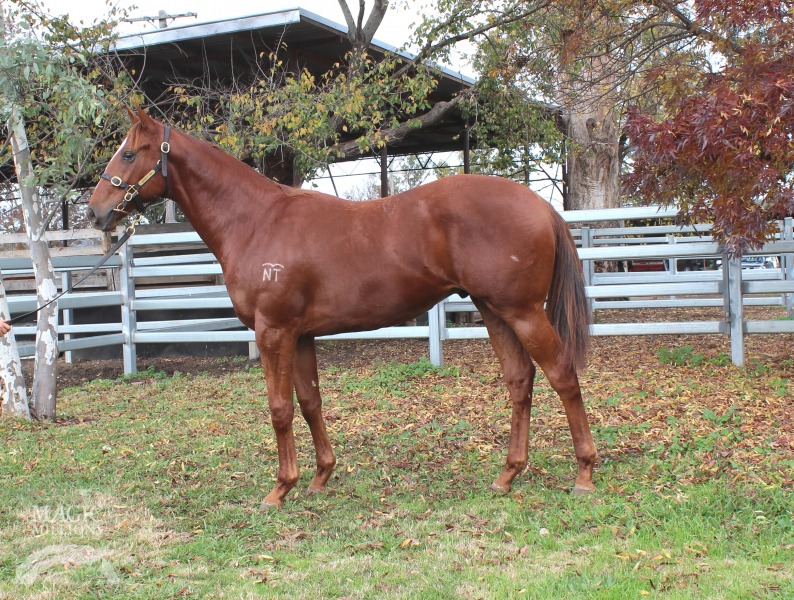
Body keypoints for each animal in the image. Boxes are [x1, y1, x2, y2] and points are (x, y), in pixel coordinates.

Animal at [87, 108, 597, 509]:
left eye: (129, 154)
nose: (95, 211)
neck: (256, 221)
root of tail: (540, 205)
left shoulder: (273, 331)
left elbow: (280, 407)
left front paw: (280, 489)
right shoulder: (301, 335)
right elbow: (310, 401)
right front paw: (319, 477)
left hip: (524, 311)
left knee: (562, 376)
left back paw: (584, 474)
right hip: (494, 310)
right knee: (520, 381)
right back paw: (507, 475)